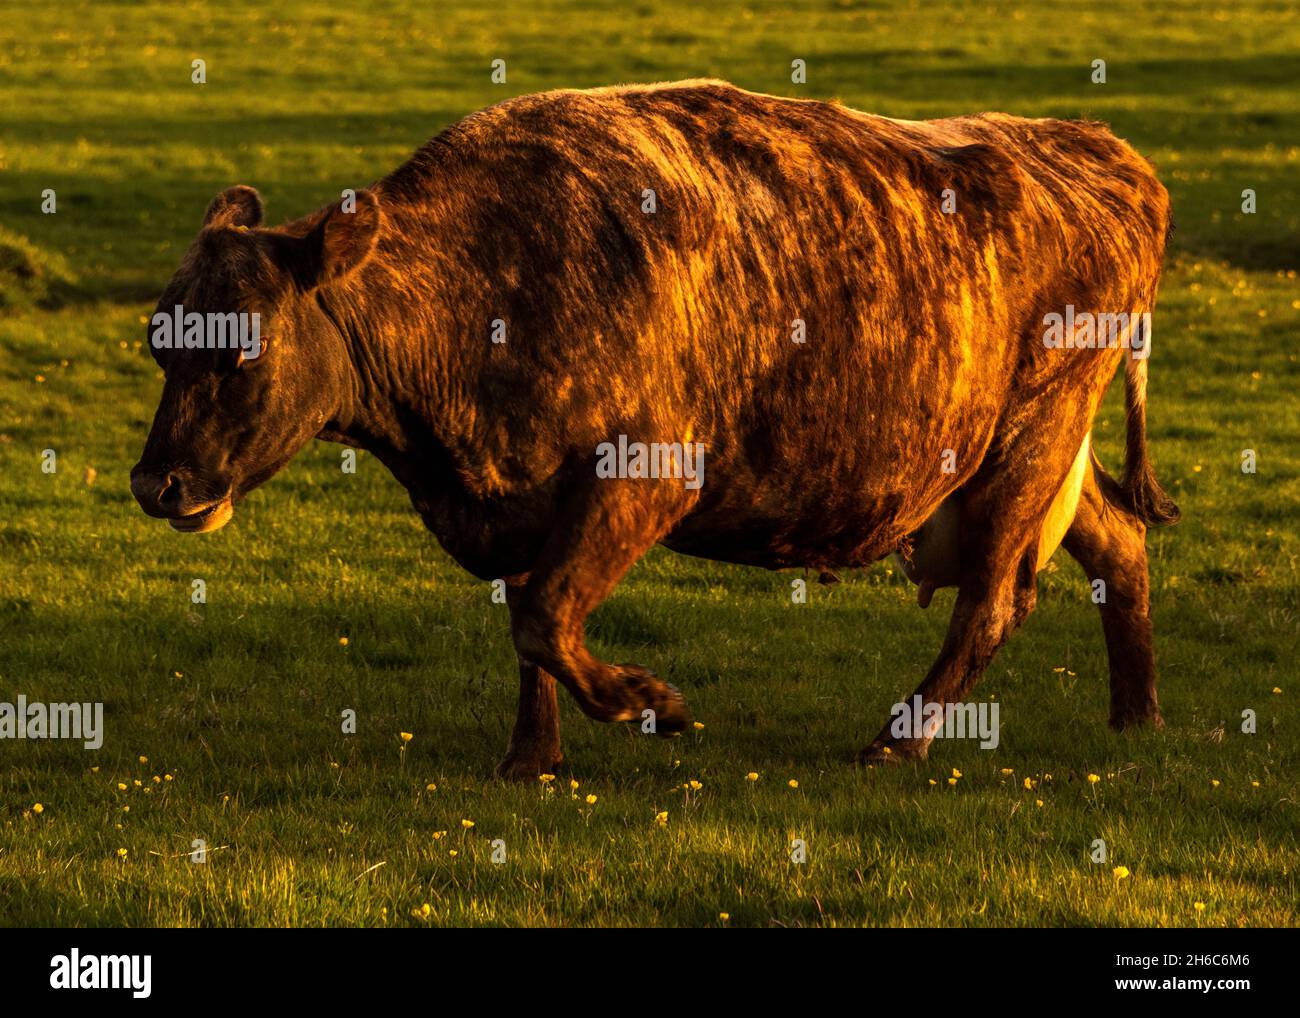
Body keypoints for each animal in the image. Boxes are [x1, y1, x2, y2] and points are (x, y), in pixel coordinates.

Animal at [130, 79, 1179, 779]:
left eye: (240, 354)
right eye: (160, 342)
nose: (155, 484)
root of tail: (1098, 149)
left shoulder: (646, 473)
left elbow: (545, 614)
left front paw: (647, 703)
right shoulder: (522, 498)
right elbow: (530, 622)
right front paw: (532, 758)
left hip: (1029, 443)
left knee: (994, 601)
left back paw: (897, 739)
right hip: (1038, 459)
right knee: (1119, 544)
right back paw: (1137, 718)